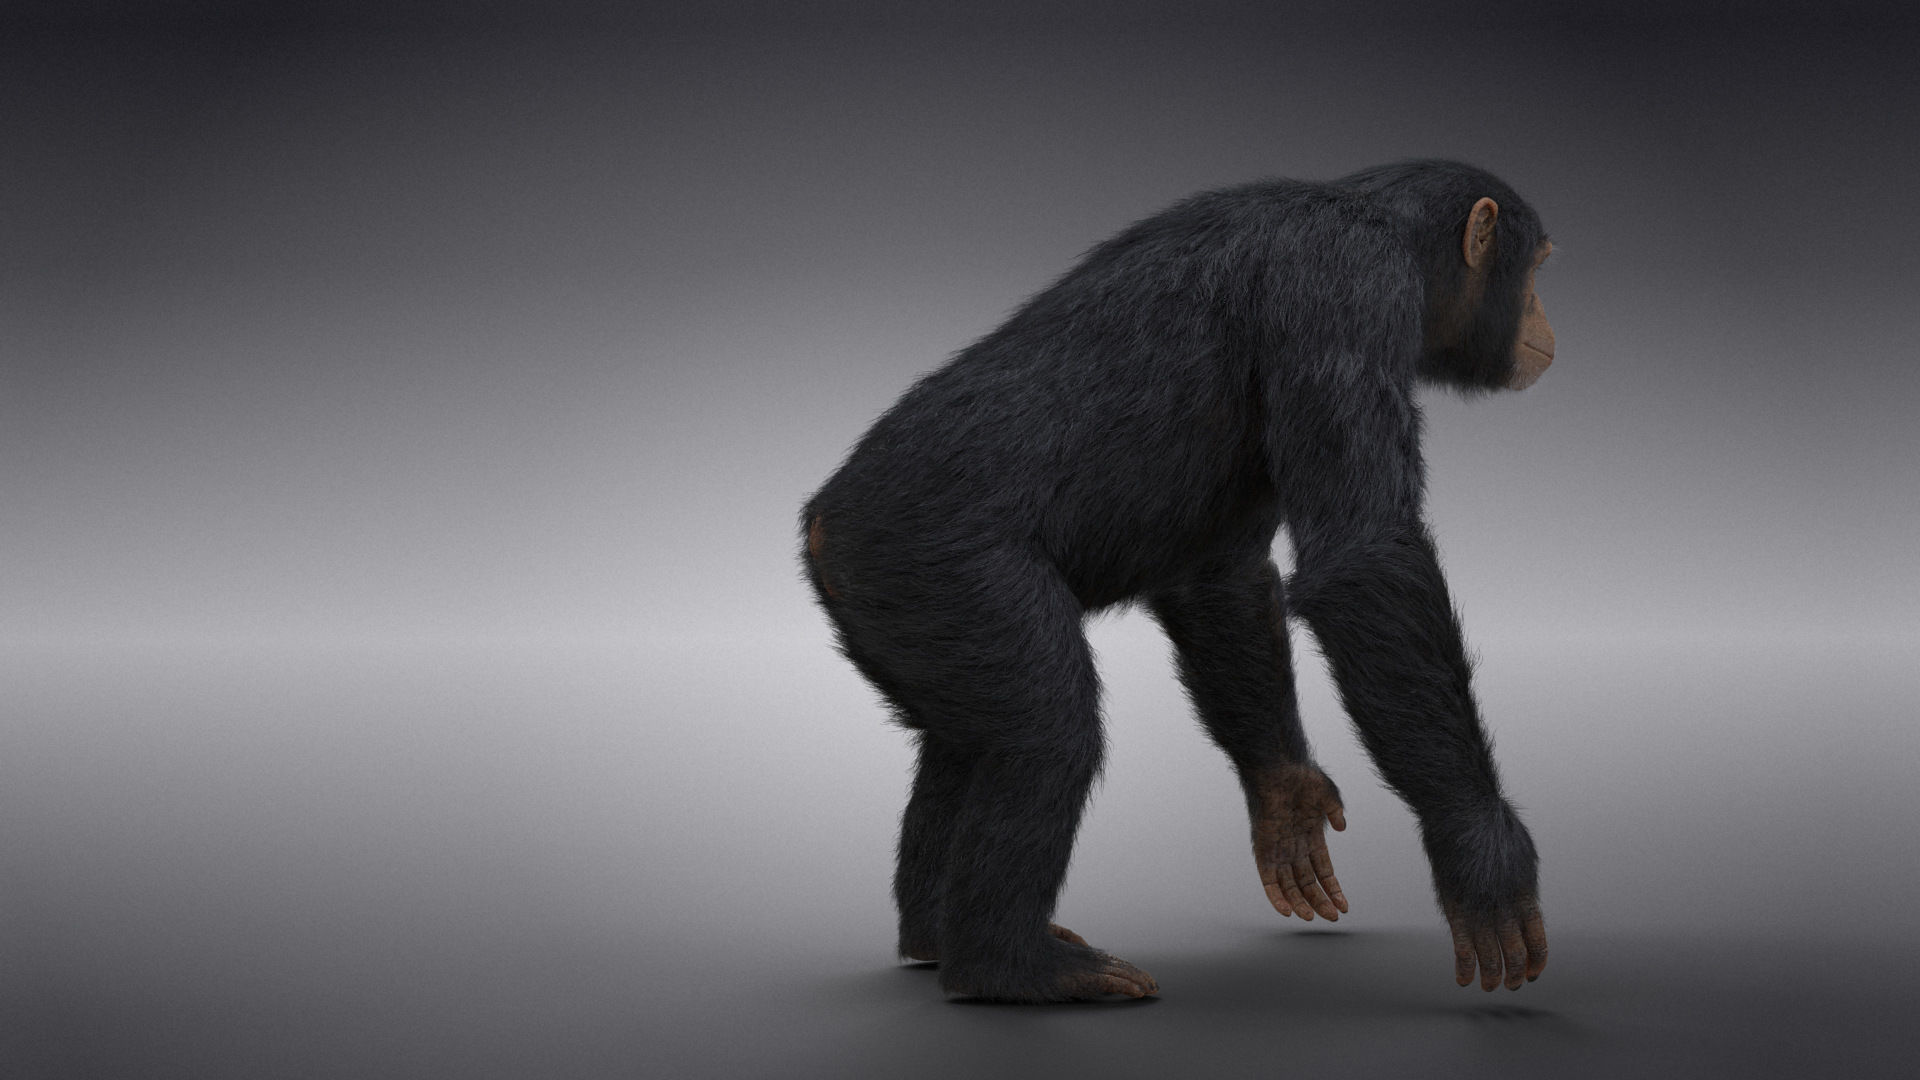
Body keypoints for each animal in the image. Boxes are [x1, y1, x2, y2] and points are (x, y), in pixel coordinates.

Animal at [801, 160, 1554, 1002]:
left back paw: (937, 938)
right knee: (1046, 731)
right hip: (938, 568)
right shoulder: (1351, 289)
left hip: (911, 616)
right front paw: (1482, 850)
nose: (1544, 318)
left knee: (964, 743)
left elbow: (1219, 578)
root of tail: (822, 525)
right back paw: (1011, 964)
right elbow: (1366, 558)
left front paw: (1285, 796)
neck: (1382, 222)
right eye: (1538, 267)